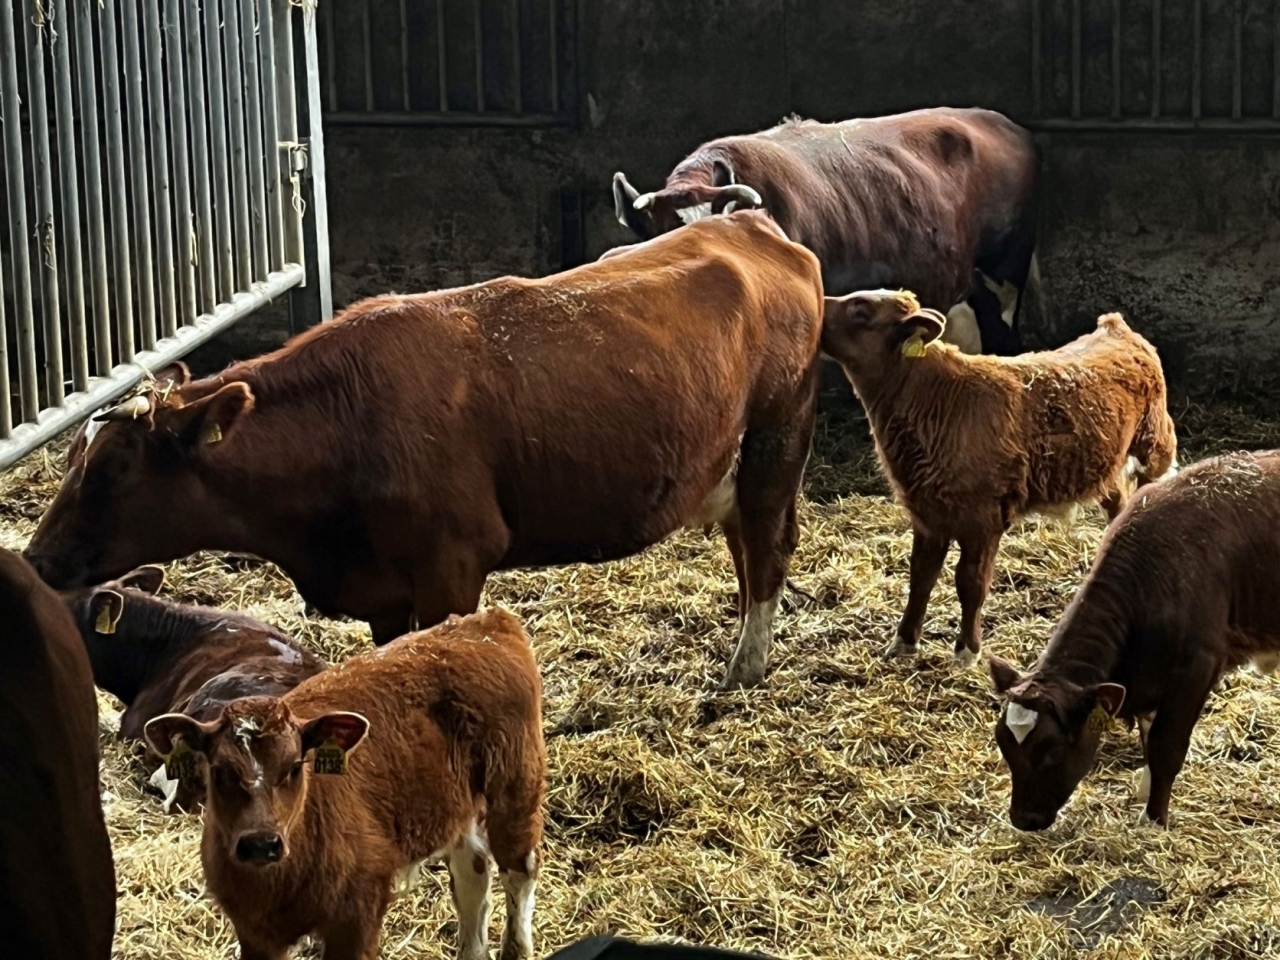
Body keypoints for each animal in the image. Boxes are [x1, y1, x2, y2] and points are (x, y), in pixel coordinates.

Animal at [24, 210, 823, 689]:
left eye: (113, 470)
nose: (36, 558)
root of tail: (749, 222)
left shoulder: (453, 567)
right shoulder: (383, 588)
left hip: (777, 439)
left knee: (769, 545)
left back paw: (746, 668)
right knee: (746, 545)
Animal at [144, 607, 545, 960]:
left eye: (295, 766)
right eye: (220, 770)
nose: (260, 844)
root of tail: (484, 622)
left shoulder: (356, 918)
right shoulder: (254, 933)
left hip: (515, 786)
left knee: (519, 870)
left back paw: (516, 948)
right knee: (472, 874)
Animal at [820, 292, 1177, 667]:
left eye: (861, 310)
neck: (935, 400)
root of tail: (1114, 327)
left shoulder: (983, 519)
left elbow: (971, 582)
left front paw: (967, 651)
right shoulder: (927, 513)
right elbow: (921, 576)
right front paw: (904, 641)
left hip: (1156, 449)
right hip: (1104, 467)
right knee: (1118, 504)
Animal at [990, 450, 1280, 830]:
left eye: (1050, 750)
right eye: (1004, 744)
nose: (1023, 819)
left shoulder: (1197, 669)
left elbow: (1165, 746)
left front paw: (1155, 818)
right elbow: (1148, 739)